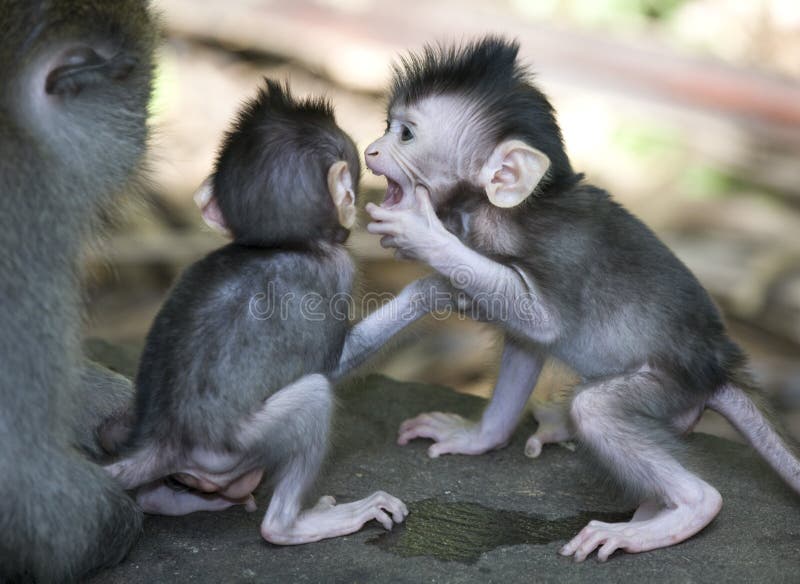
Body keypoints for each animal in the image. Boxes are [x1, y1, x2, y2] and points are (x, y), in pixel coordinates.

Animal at [104, 79, 408, 545]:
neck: (282, 243)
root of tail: (165, 439)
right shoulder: (337, 269)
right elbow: (333, 363)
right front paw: (440, 285)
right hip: (234, 448)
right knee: (315, 395)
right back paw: (293, 524)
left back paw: (166, 498)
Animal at [336, 36, 800, 561]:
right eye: (387, 127)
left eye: (406, 134)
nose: (372, 148)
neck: (501, 213)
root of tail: (718, 366)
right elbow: (526, 341)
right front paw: (479, 436)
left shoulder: (559, 253)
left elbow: (542, 321)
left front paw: (425, 241)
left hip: (671, 382)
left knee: (598, 411)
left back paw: (680, 511)